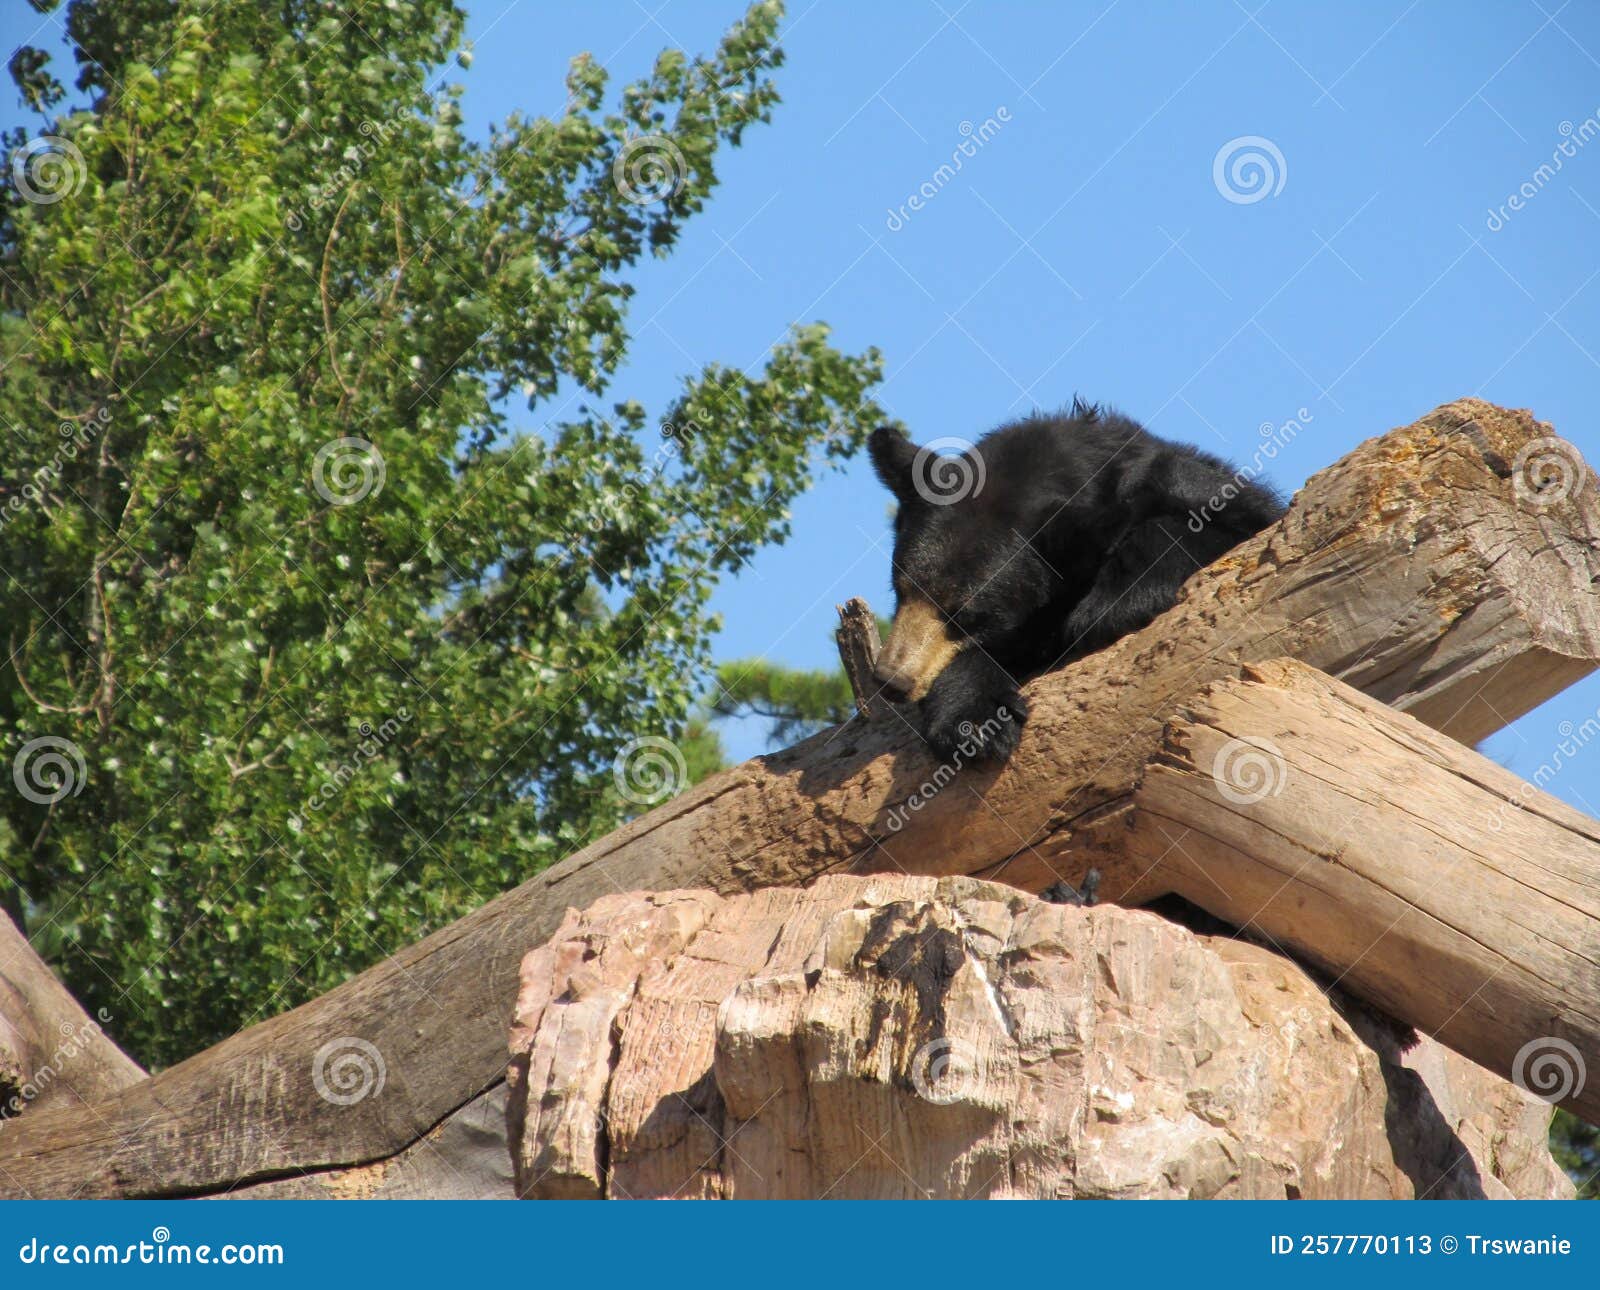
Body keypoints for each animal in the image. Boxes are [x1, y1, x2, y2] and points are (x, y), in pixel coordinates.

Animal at [868, 400, 1285, 763]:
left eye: (966, 617)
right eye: (900, 589)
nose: (892, 680)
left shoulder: (1194, 488)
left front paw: (1109, 607)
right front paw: (974, 724)